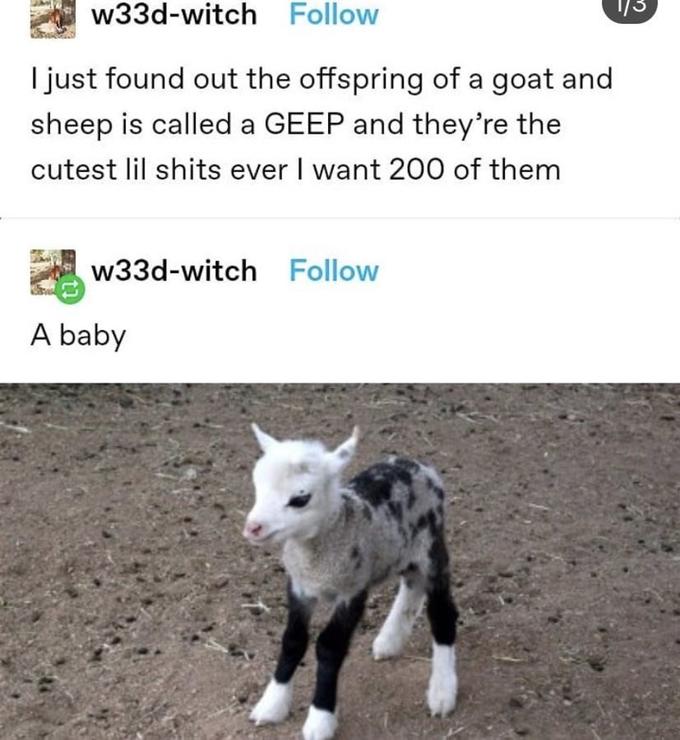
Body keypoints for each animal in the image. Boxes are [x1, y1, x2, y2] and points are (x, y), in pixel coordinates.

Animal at [243, 425, 458, 740]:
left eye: (300, 498)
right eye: (257, 485)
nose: (253, 528)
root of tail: (418, 465)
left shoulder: (352, 589)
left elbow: (329, 647)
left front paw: (320, 719)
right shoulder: (299, 587)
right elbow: (293, 640)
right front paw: (272, 704)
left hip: (432, 547)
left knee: (442, 613)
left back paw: (442, 691)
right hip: (402, 550)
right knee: (411, 586)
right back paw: (389, 641)